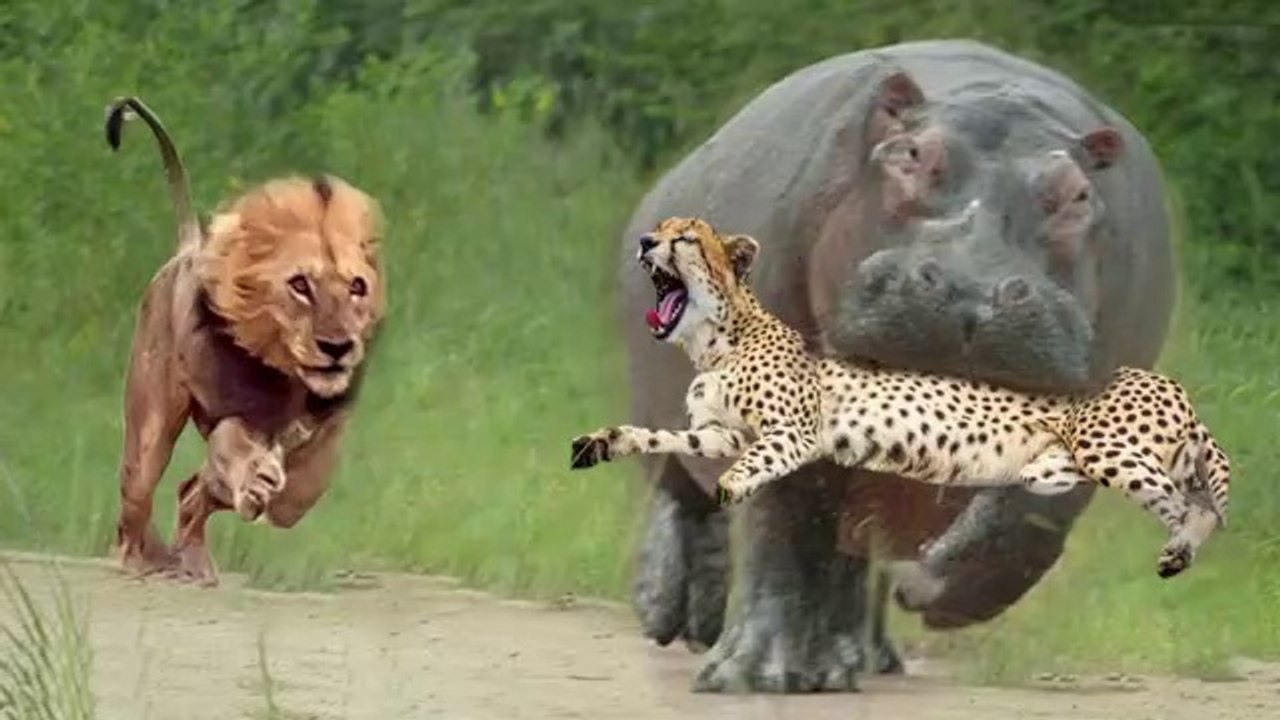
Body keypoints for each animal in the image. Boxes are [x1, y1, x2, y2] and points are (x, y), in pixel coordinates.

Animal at [105, 96, 386, 586]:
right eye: (300, 286)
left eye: (357, 287)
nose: (338, 347)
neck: (291, 379)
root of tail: (188, 246)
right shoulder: (234, 414)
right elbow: (237, 448)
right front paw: (258, 477)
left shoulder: (326, 430)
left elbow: (299, 493)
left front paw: (271, 484)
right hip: (151, 426)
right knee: (136, 497)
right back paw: (147, 557)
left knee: (190, 492)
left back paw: (195, 559)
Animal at [570, 216, 1230, 580]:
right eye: (661, 229)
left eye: (684, 238)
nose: (645, 240)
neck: (716, 339)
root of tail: (1171, 385)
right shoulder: (717, 432)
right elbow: (659, 437)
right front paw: (601, 443)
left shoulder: (792, 432)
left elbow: (756, 462)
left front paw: (732, 490)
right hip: (1063, 470)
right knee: (1187, 503)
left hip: (1111, 451)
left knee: (1199, 510)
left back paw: (1179, 553)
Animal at [616, 39, 1175, 692]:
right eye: (910, 155)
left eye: (1078, 195)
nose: (972, 291)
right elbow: (781, 521)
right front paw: (751, 676)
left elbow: (1031, 518)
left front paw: (927, 586)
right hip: (666, 398)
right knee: (682, 489)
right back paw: (675, 615)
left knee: (847, 556)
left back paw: (852, 660)